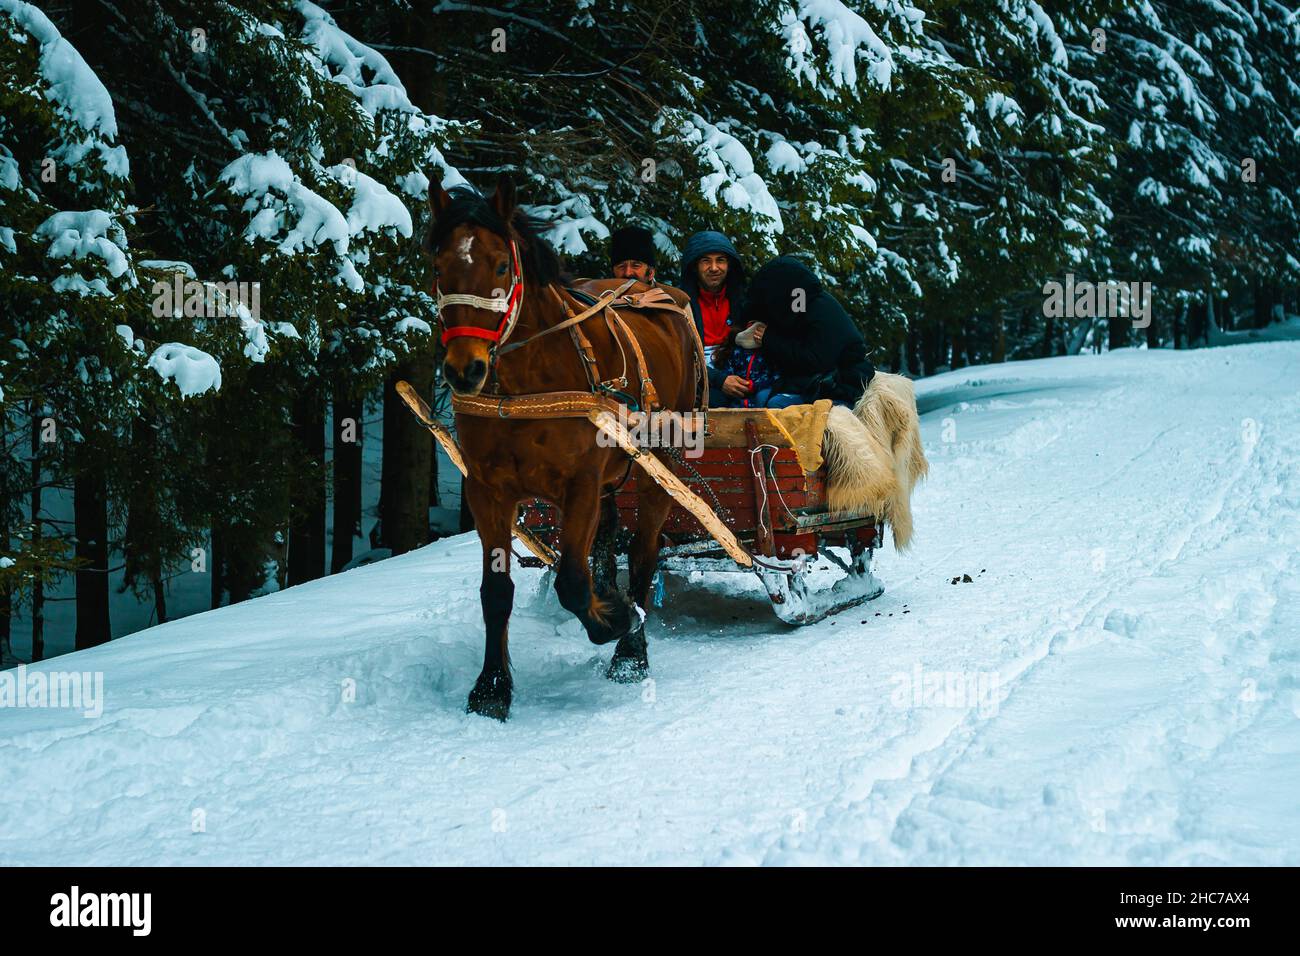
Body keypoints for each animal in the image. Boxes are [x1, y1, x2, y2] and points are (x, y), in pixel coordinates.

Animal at [423, 174, 698, 720]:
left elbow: (572, 579)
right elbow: (496, 591)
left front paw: (615, 620)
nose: (464, 370)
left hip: (659, 465)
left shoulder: (581, 485)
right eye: (439, 268)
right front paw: (491, 688)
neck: (524, 385)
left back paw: (631, 651)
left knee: (644, 554)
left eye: (502, 266)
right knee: (611, 539)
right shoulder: (487, 491)